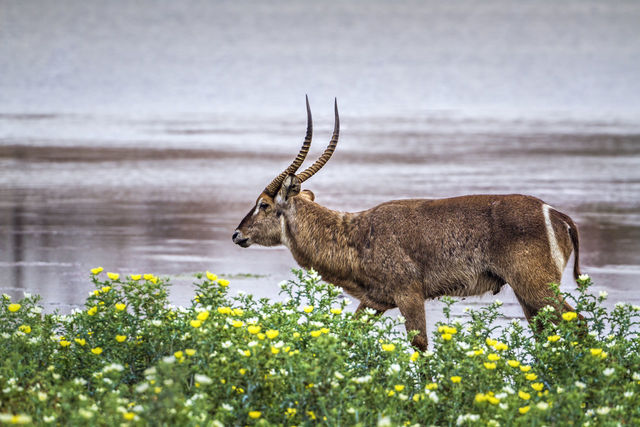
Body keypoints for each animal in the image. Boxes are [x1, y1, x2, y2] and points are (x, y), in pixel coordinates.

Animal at [232, 97, 581, 350]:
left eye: (263, 204)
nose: (237, 234)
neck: (354, 235)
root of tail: (556, 214)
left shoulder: (409, 294)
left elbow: (420, 345)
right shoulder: (374, 300)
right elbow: (347, 336)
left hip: (536, 287)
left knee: (578, 322)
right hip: (527, 293)